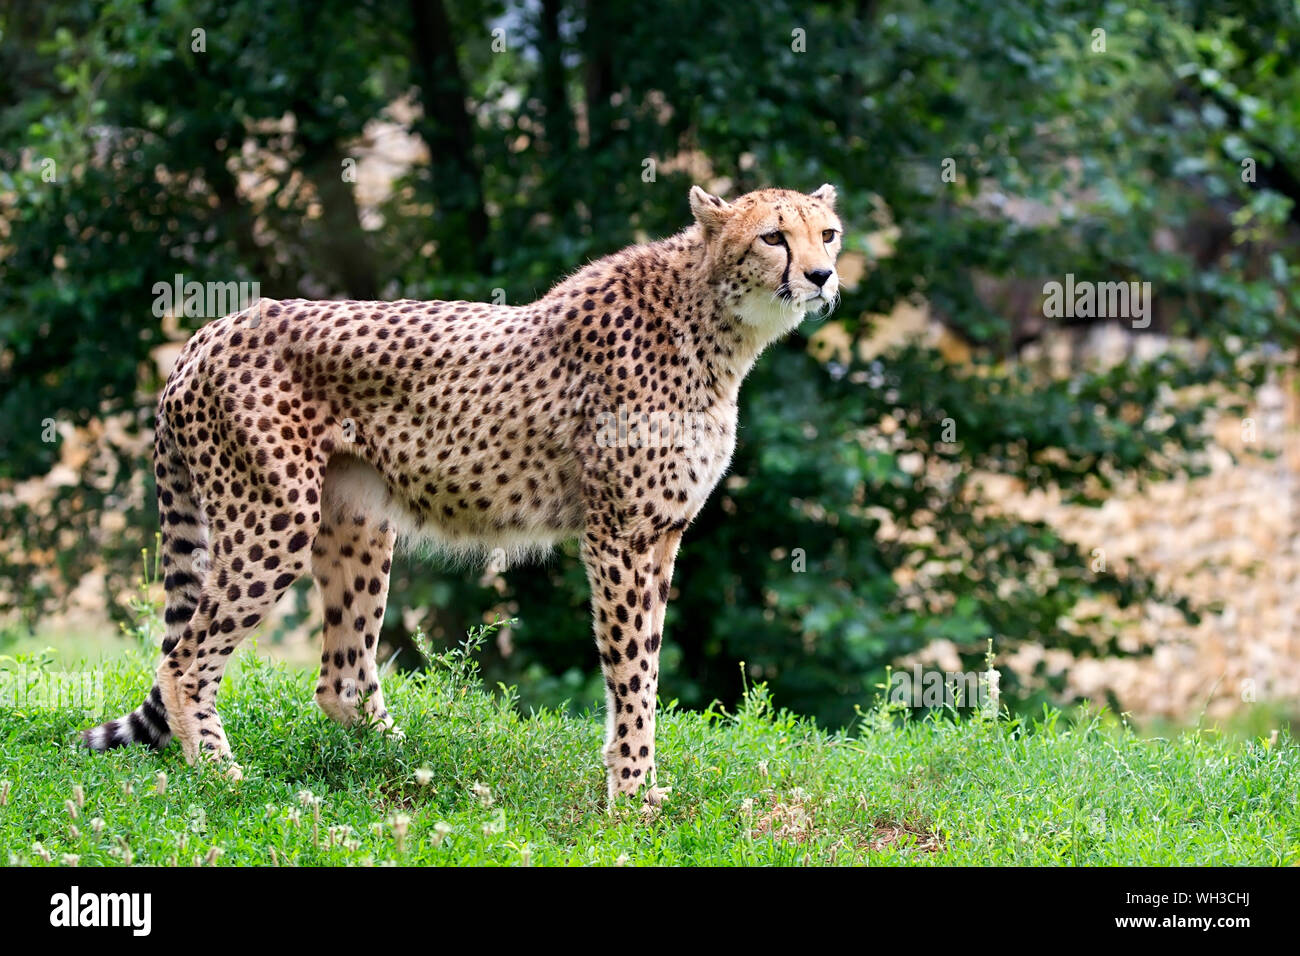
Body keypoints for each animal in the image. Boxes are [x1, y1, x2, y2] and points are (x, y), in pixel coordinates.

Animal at [82, 183, 844, 804]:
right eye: (773, 236)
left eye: (828, 233)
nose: (822, 276)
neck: (716, 322)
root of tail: (208, 332)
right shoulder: (621, 535)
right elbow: (631, 671)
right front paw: (629, 792)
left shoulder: (661, 534)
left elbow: (649, 667)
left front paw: (641, 781)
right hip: (273, 520)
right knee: (183, 660)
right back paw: (221, 774)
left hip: (358, 523)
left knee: (339, 677)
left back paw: (413, 770)